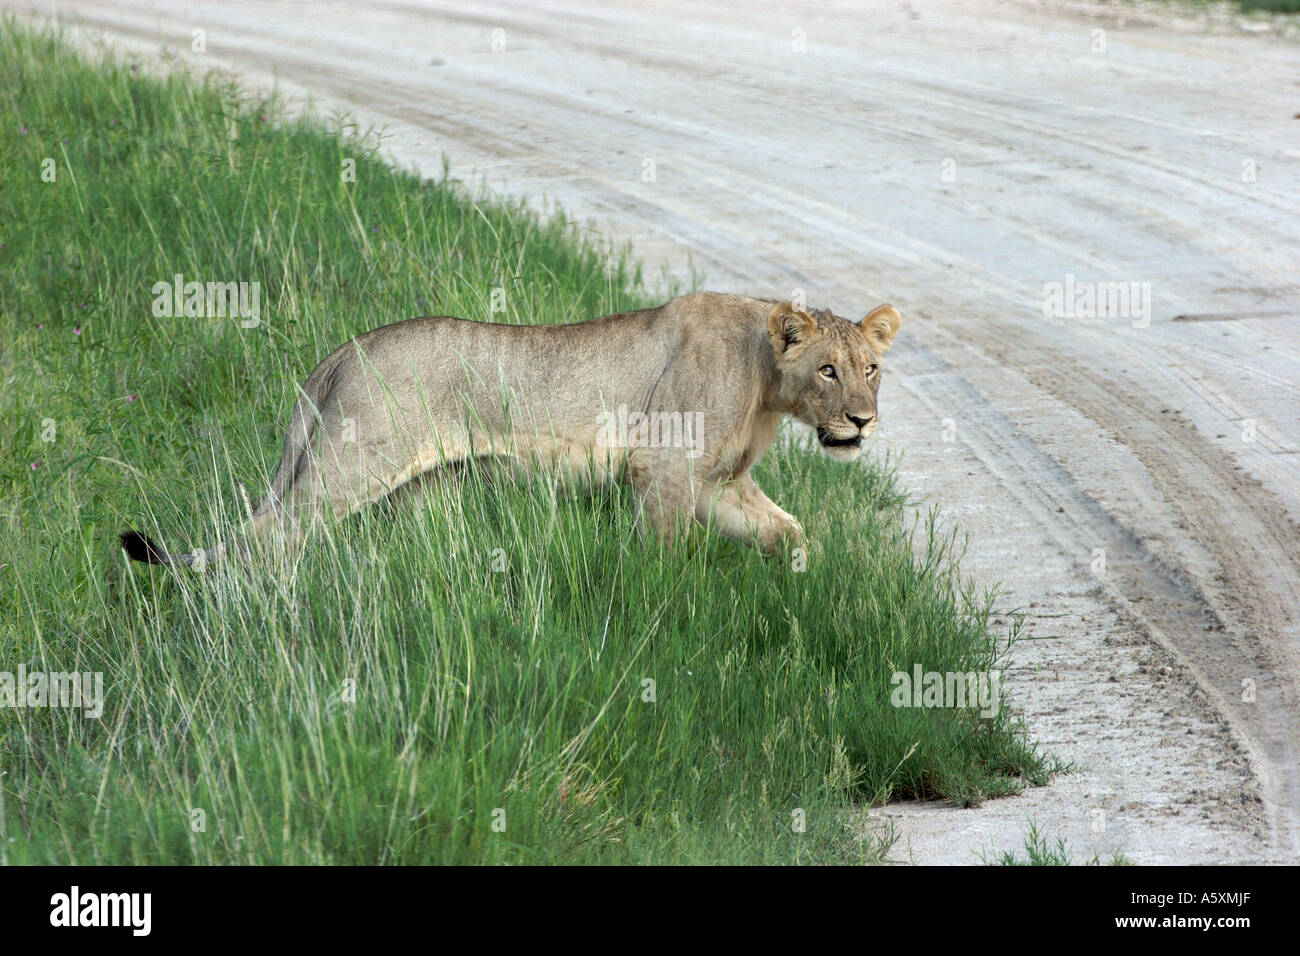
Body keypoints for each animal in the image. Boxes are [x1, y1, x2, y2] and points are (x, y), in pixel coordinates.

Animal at [120, 292, 901, 565]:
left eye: (871, 369)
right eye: (828, 370)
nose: (863, 420)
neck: (767, 382)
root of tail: (342, 351)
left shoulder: (720, 484)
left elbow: (788, 532)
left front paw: (802, 585)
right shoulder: (665, 469)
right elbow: (664, 554)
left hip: (421, 493)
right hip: (350, 466)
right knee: (266, 536)